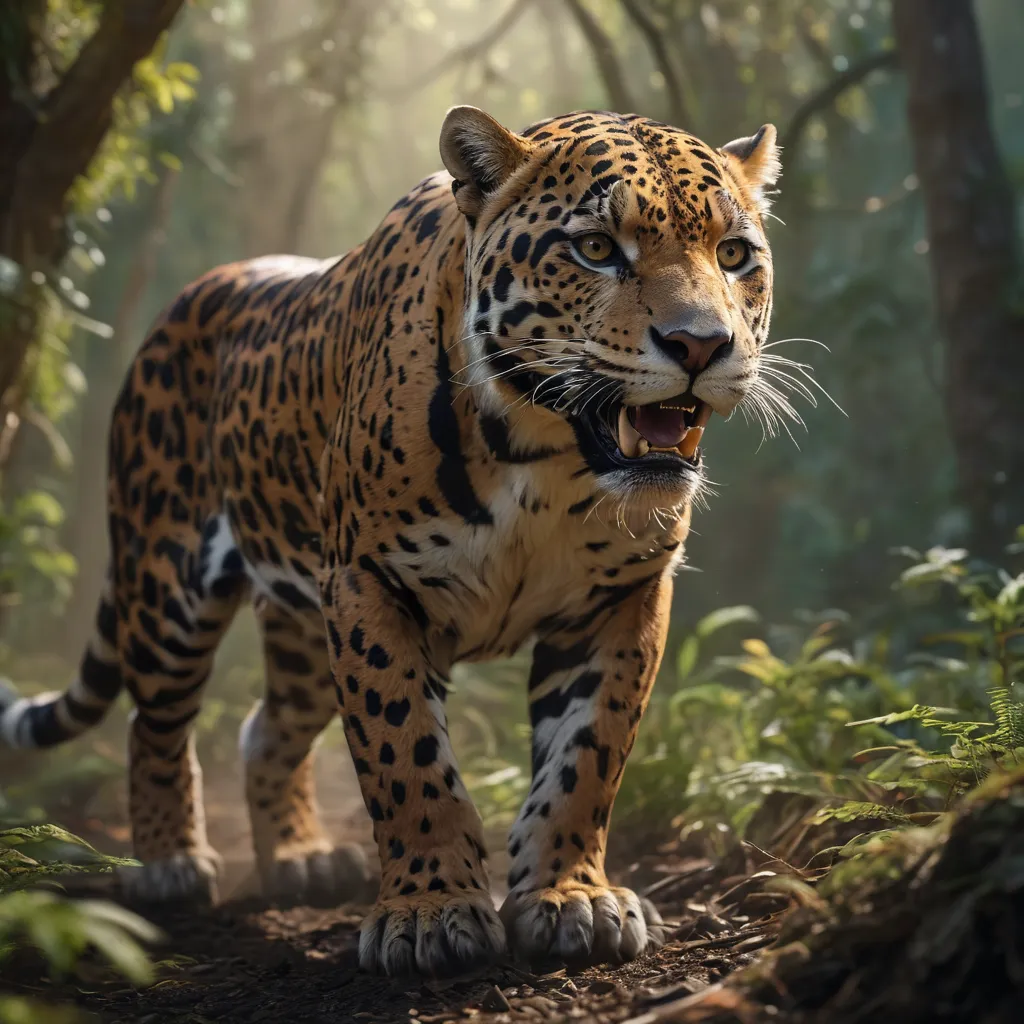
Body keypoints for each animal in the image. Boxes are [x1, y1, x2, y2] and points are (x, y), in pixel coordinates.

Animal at [0, 105, 781, 976]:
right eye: (596, 248)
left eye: (734, 255)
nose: (701, 345)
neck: (544, 460)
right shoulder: (370, 585)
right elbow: (404, 752)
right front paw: (431, 913)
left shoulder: (619, 599)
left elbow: (588, 759)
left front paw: (570, 896)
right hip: (168, 582)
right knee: (156, 724)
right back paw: (168, 863)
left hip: (304, 629)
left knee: (266, 728)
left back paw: (302, 856)